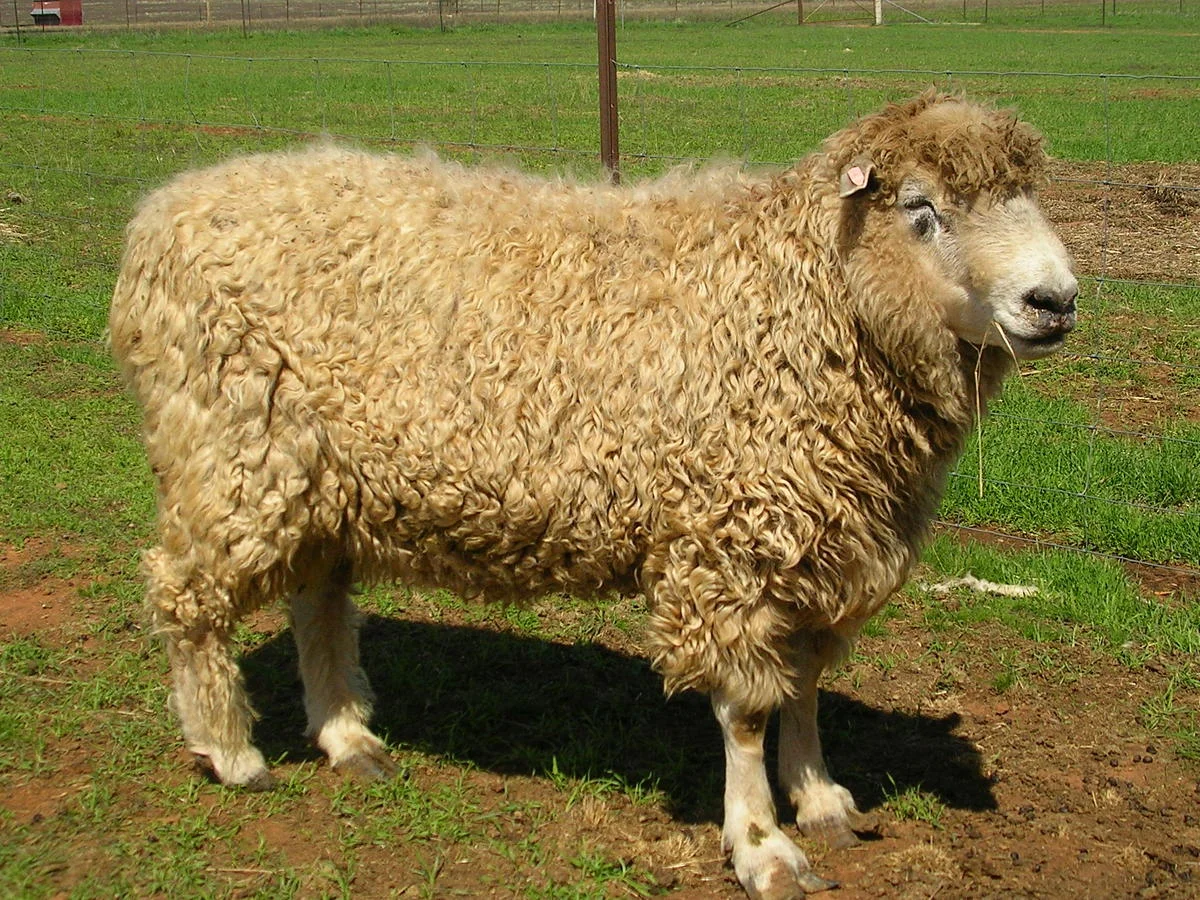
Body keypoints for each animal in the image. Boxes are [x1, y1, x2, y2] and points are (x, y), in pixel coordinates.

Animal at [109, 91, 1077, 898]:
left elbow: (800, 688)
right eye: (923, 210)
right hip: (230, 451)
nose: (1055, 300)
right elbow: (748, 710)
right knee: (187, 596)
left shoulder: (814, 540)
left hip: (319, 476)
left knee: (317, 602)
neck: (801, 294)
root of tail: (163, 211)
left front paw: (822, 799)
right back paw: (230, 750)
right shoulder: (725, 541)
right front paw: (761, 844)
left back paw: (347, 739)